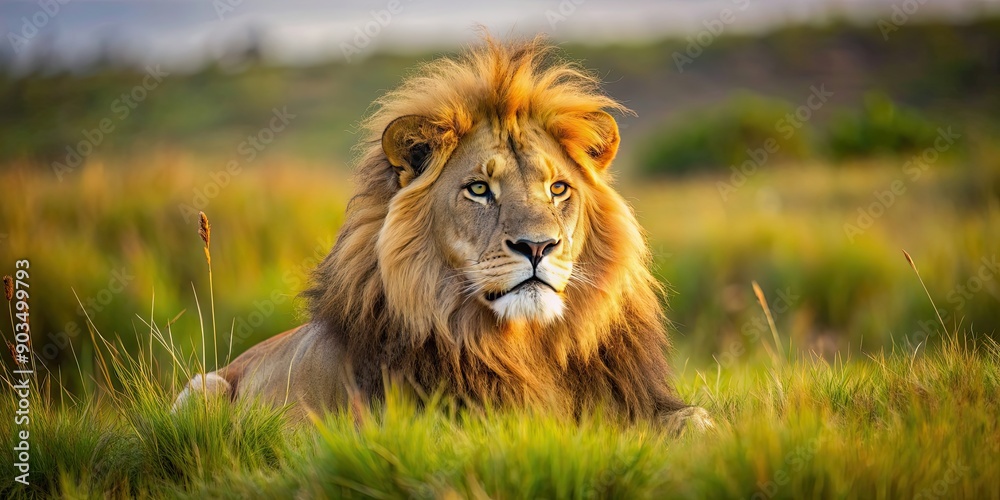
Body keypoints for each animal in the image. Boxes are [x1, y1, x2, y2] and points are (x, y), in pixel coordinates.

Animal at [174, 35, 712, 432]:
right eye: (478, 189)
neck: (524, 347)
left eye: (558, 188)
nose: (538, 246)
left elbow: (698, 420)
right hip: (203, 388)